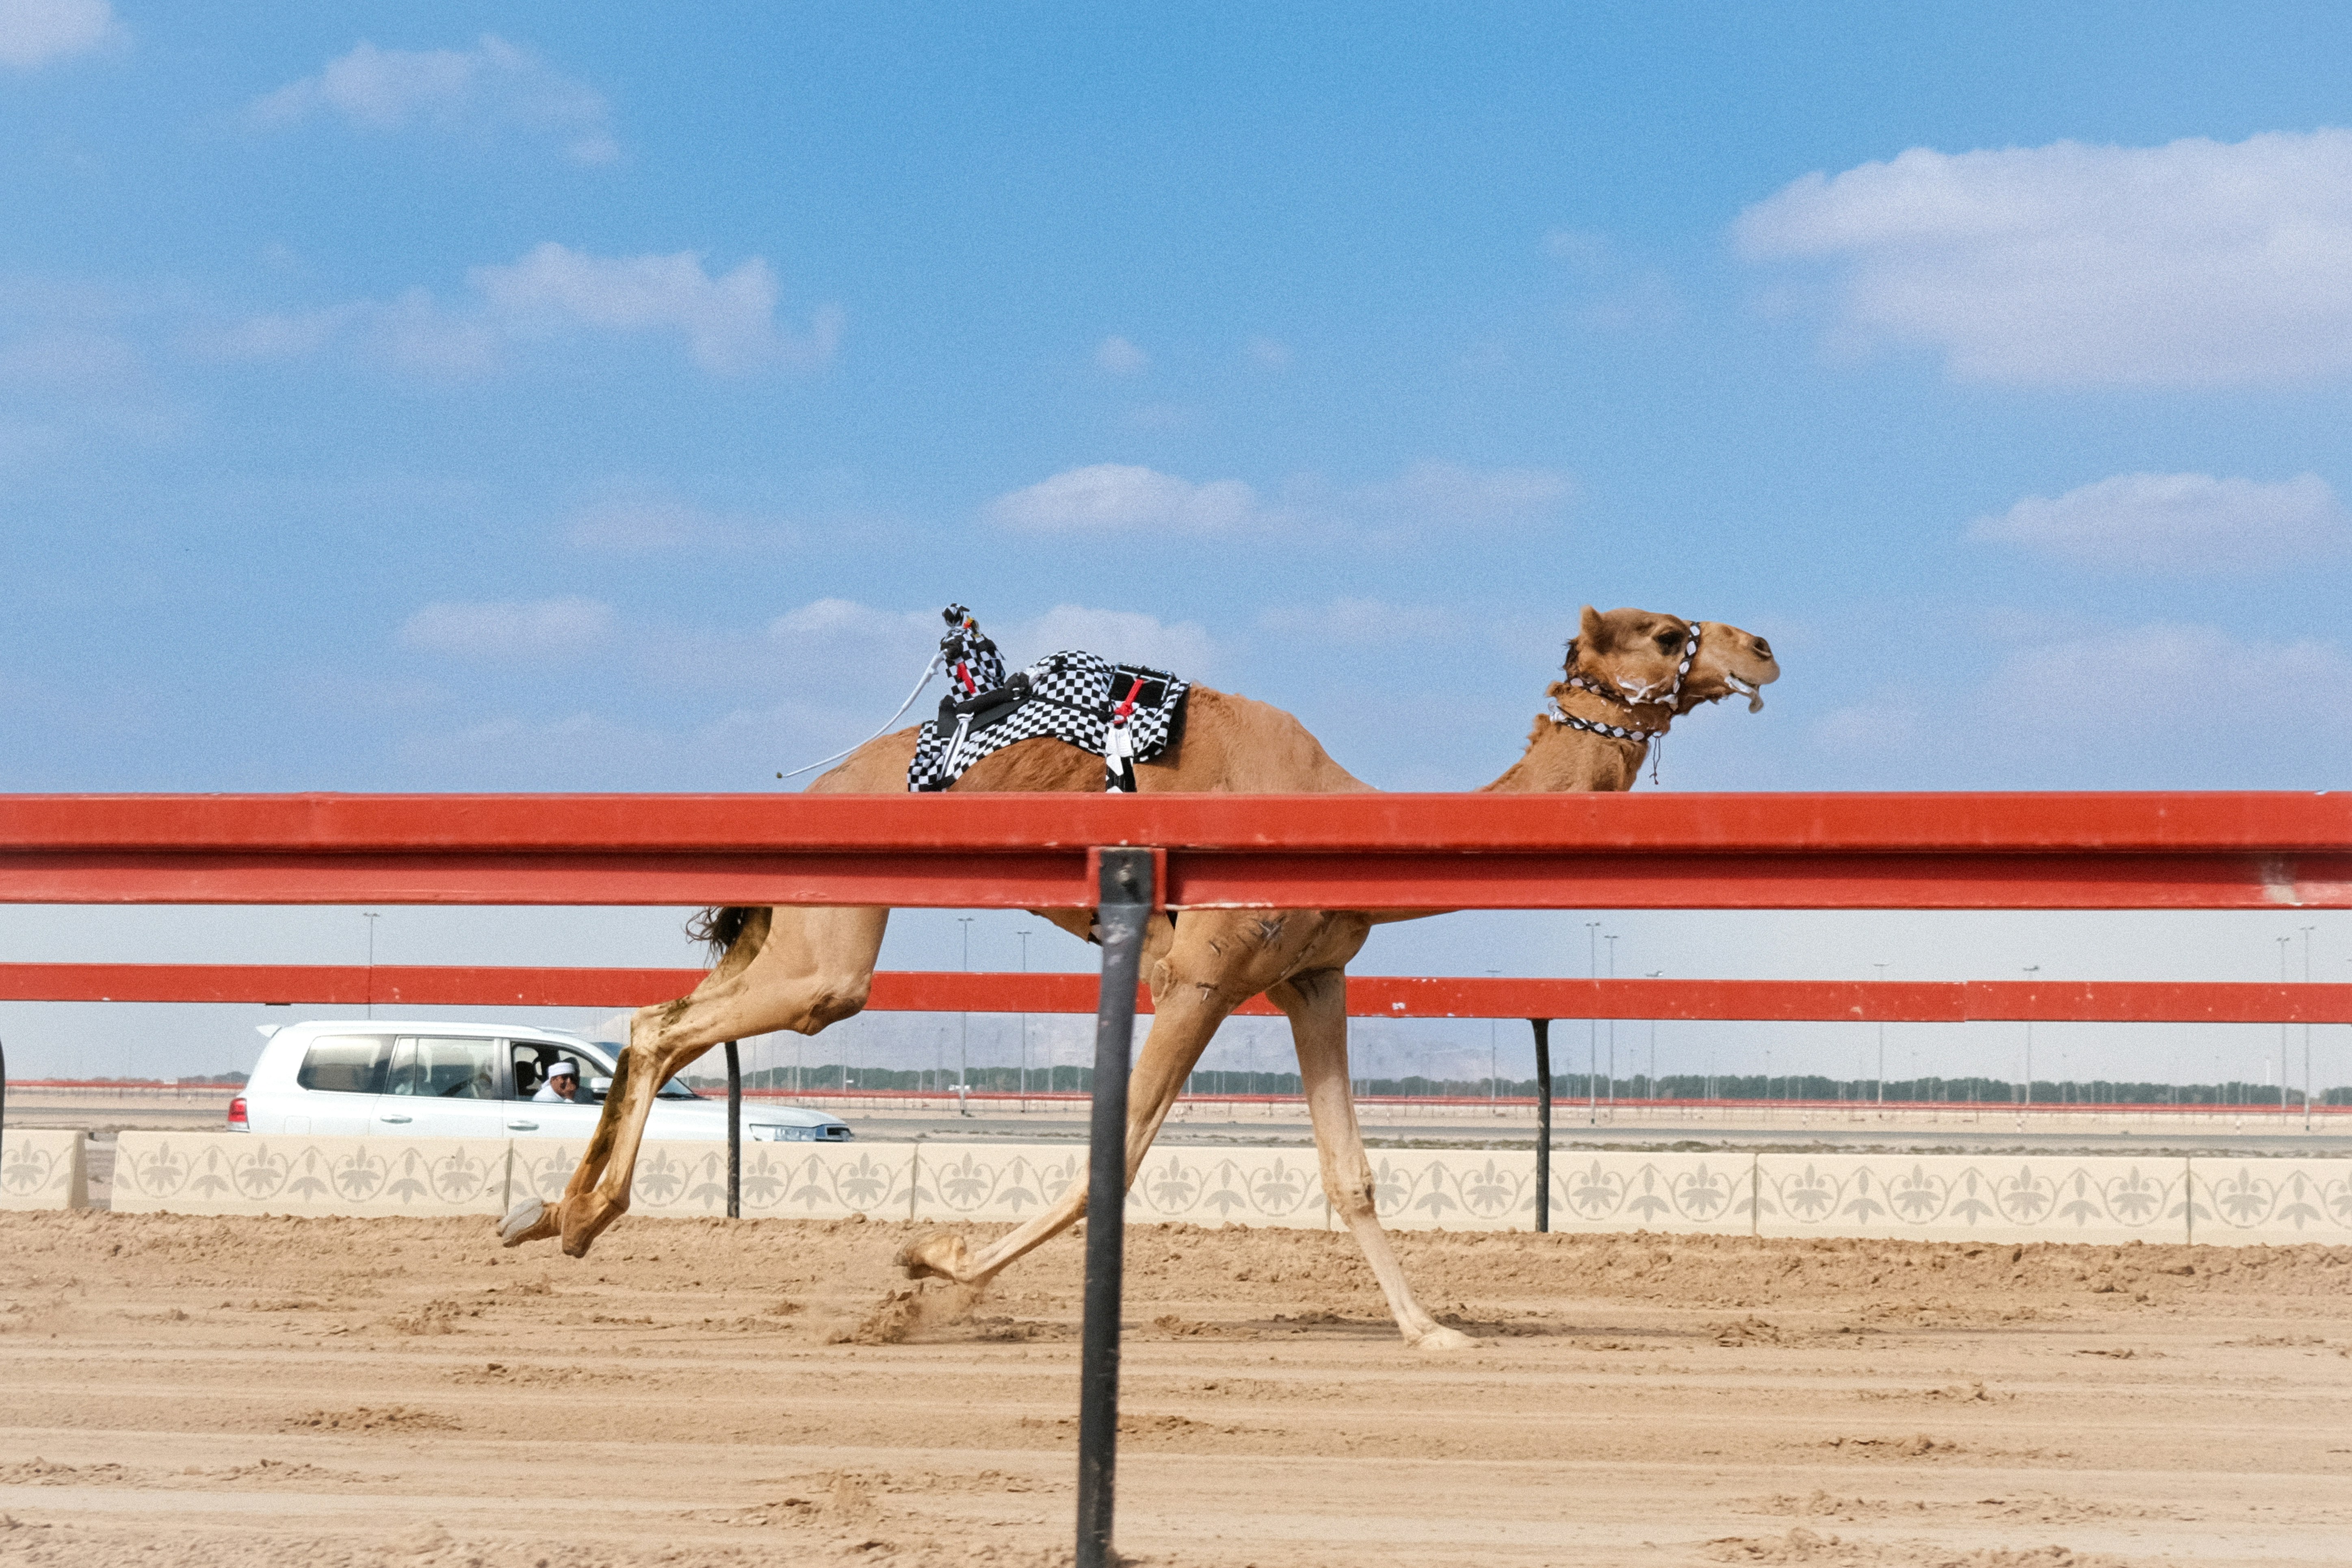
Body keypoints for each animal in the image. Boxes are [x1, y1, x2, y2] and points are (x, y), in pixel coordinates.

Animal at [498, 605, 1780, 1349]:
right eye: (1665, 630)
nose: (1762, 644)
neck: (1329, 808)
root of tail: (814, 790)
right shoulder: (1200, 974)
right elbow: (1111, 1155)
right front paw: (928, 1270)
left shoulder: (1312, 979)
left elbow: (1352, 1172)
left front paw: (1432, 1331)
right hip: (834, 939)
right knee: (677, 1018)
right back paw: (569, 1216)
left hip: (802, 926)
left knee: (666, 1011)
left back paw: (551, 1212)